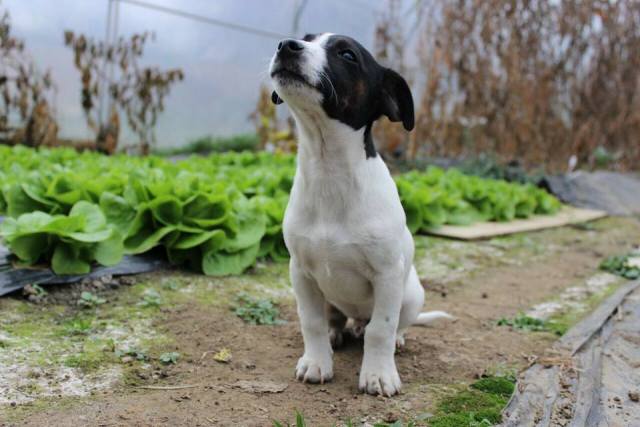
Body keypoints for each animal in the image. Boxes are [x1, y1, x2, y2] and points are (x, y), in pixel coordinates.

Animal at [268, 33, 450, 398]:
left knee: (388, 325)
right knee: (336, 320)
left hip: (411, 294)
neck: (329, 173)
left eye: (348, 55)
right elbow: (311, 322)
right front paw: (317, 362)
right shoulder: (300, 272)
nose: (286, 45)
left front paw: (378, 374)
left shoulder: (387, 274)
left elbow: (381, 329)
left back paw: (395, 339)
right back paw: (337, 333)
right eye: (307, 39)